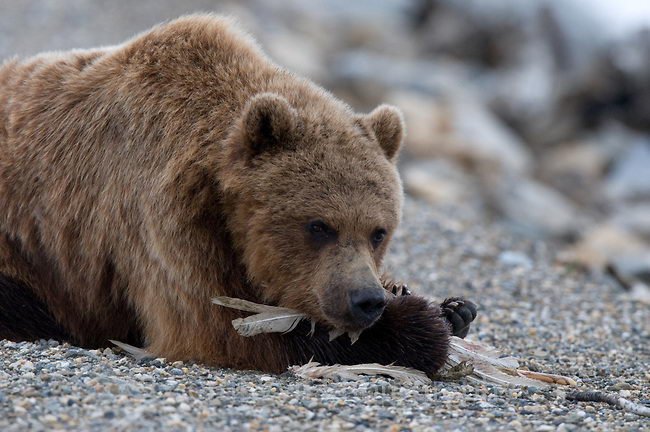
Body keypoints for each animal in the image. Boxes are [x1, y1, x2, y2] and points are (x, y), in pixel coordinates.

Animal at [0, 15, 476, 374]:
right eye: (319, 226)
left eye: (379, 232)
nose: (366, 301)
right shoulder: (164, 219)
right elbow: (225, 329)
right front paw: (419, 327)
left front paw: (452, 307)